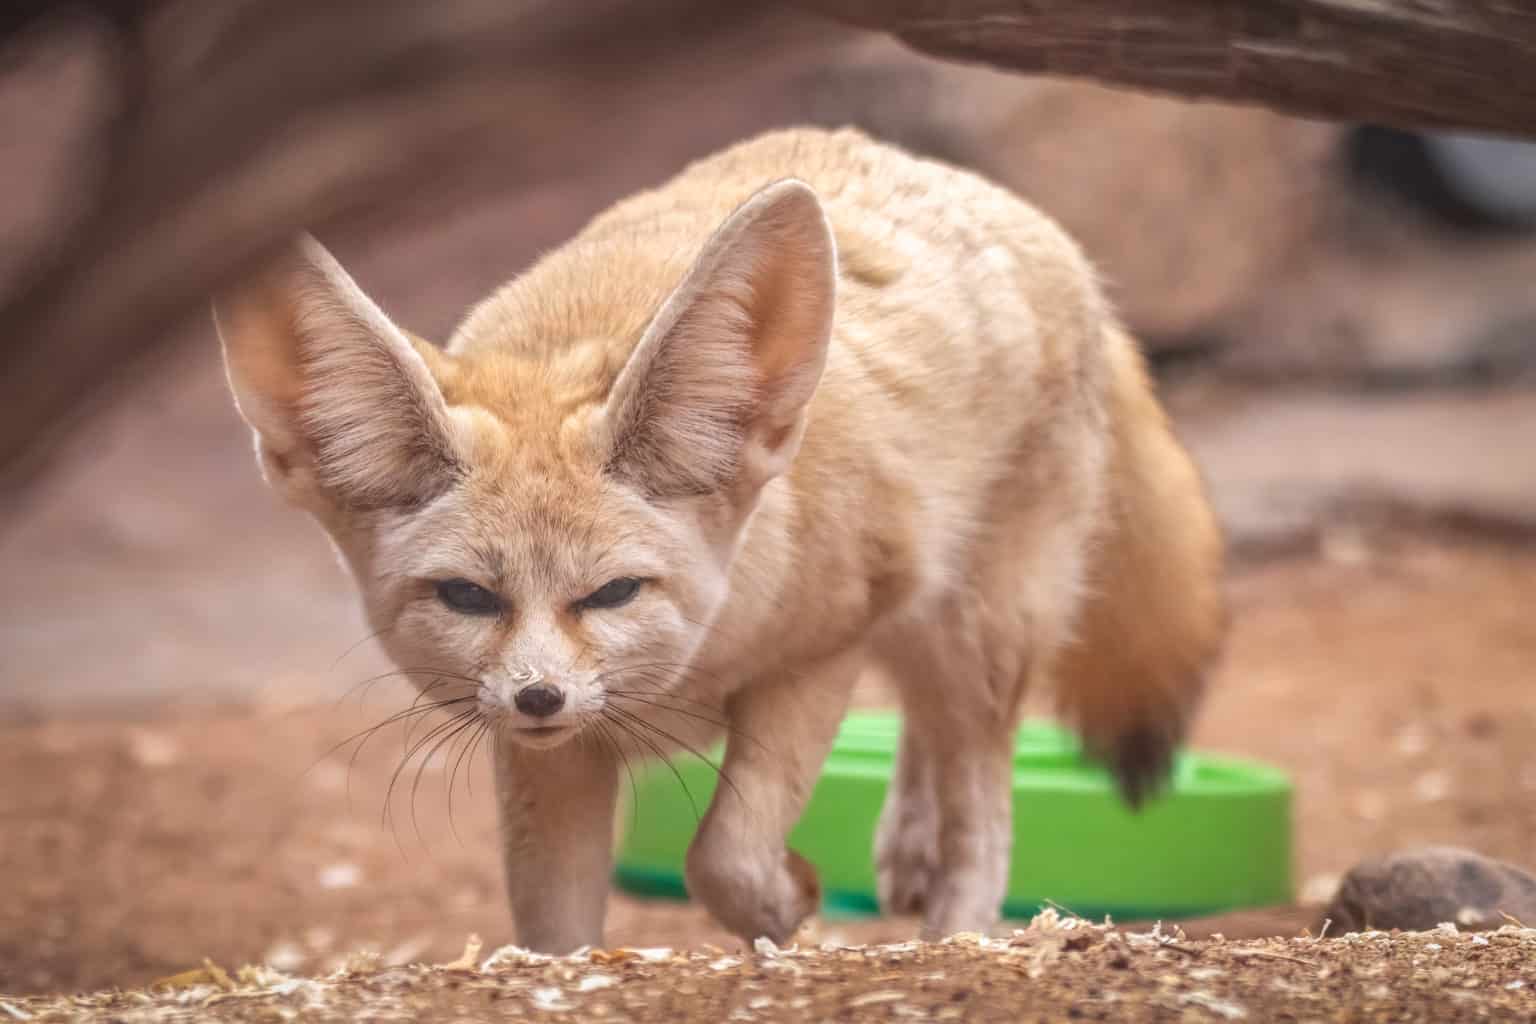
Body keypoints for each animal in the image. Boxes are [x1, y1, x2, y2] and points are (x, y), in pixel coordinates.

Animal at [215, 127, 1224, 953]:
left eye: (613, 592)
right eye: (468, 597)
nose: (539, 695)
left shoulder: (818, 654)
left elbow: (726, 854)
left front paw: (786, 902)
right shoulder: (551, 756)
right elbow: (552, 925)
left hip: (979, 626)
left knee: (982, 787)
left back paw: (956, 928)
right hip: (929, 616)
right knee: (929, 725)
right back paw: (906, 847)